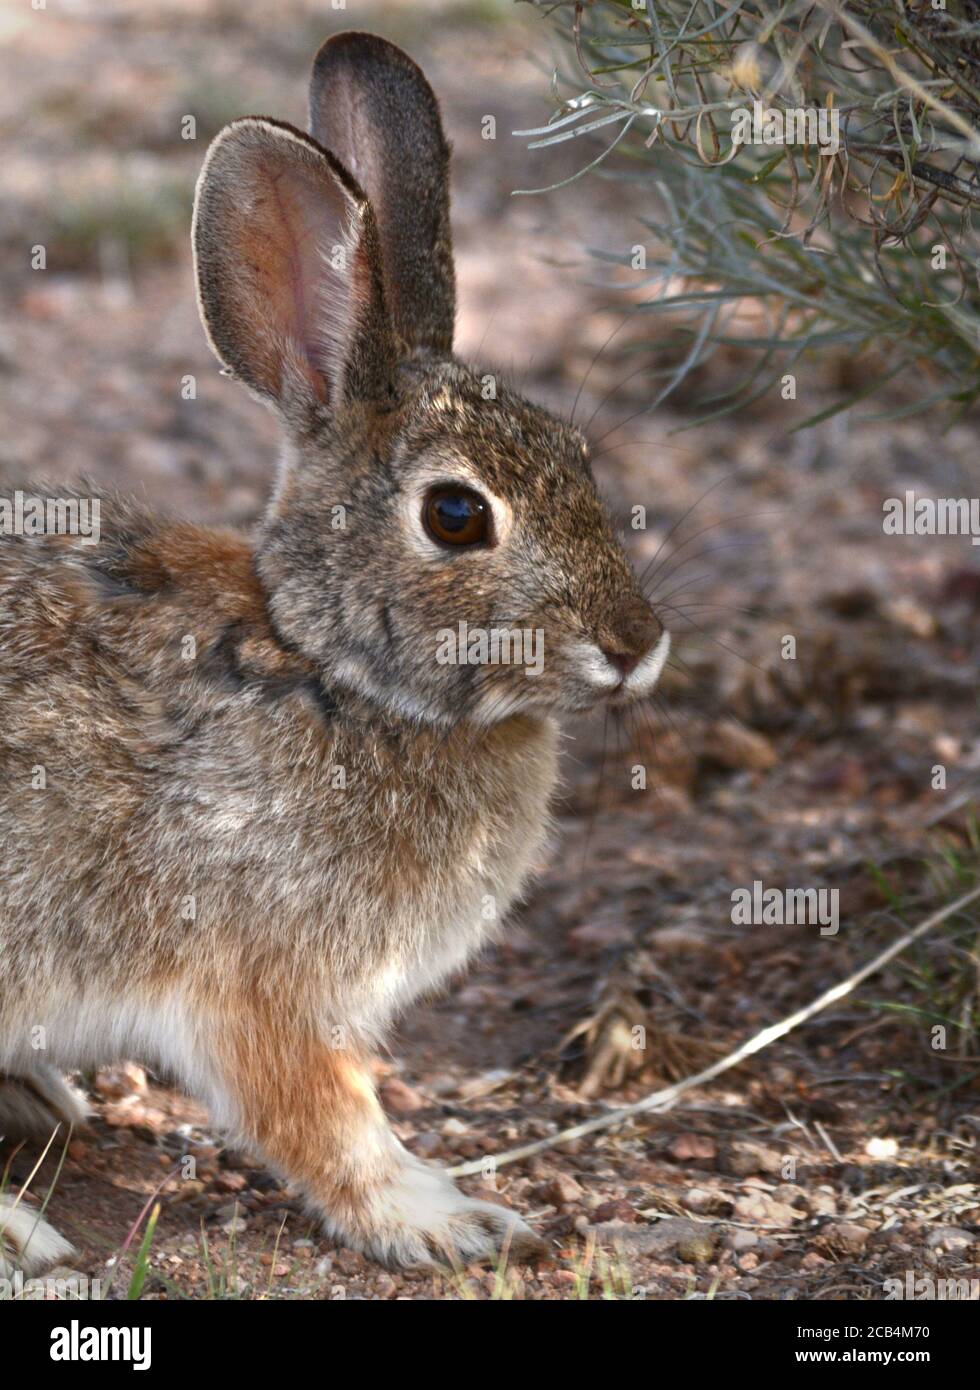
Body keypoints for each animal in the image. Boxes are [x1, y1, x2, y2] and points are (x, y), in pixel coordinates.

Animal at [0, 30, 670, 1273]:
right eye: (455, 515)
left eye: (577, 454)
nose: (635, 647)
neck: (332, 670)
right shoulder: (260, 985)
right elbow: (322, 1120)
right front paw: (446, 1217)